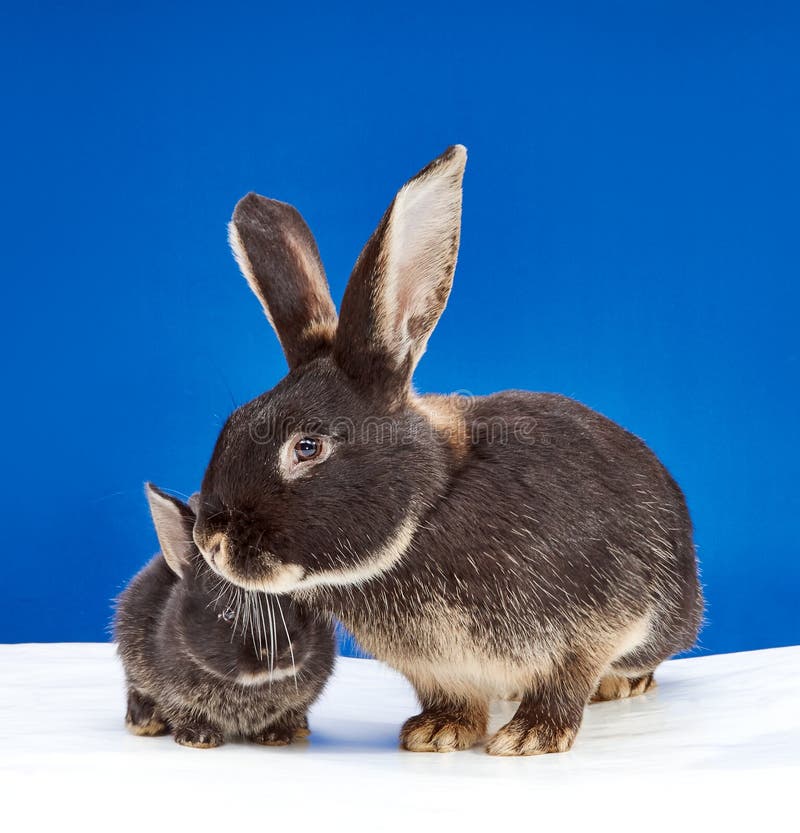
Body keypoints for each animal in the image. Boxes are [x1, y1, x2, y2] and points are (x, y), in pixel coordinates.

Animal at [114, 483, 336, 748]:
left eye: (297, 604)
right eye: (229, 613)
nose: (282, 651)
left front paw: (276, 736)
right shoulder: (172, 691)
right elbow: (182, 709)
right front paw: (199, 738)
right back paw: (144, 722)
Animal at [189, 145, 703, 756]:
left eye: (307, 448)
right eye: (233, 425)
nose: (210, 542)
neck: (429, 506)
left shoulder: (589, 626)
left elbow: (567, 679)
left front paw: (530, 738)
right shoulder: (436, 669)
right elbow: (451, 697)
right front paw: (437, 732)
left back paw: (619, 685)